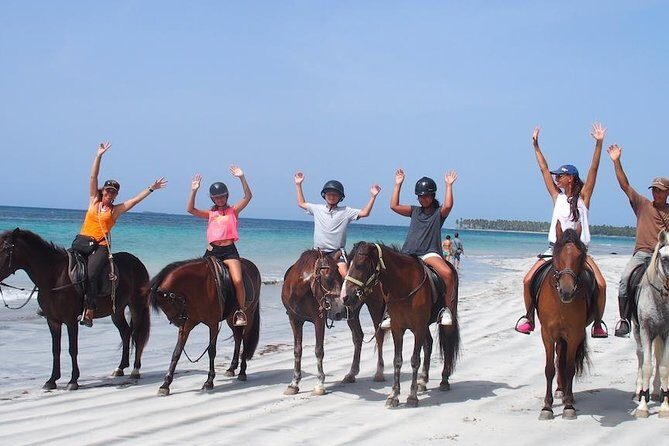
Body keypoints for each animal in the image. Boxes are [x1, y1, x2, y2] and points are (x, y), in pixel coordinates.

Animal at [0, 228, 151, 390]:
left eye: (4, 249)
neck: (55, 277)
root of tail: (137, 262)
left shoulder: (71, 320)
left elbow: (73, 349)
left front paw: (73, 381)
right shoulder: (53, 321)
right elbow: (56, 350)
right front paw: (52, 380)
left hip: (137, 306)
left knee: (137, 335)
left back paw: (135, 370)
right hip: (116, 311)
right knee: (125, 332)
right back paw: (120, 368)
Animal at [149, 257, 261, 396]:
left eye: (170, 304)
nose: (178, 323)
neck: (198, 287)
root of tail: (253, 266)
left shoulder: (213, 323)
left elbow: (211, 351)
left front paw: (209, 381)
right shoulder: (188, 324)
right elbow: (177, 352)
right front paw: (165, 384)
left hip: (248, 315)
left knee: (245, 340)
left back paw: (242, 372)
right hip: (231, 318)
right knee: (237, 338)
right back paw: (231, 368)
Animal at [281, 249, 350, 396]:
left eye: (341, 278)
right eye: (328, 278)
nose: (340, 311)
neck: (300, 293)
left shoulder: (319, 320)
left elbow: (319, 350)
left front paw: (320, 384)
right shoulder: (294, 320)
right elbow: (297, 350)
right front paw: (294, 383)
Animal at [344, 242, 460, 407]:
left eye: (360, 266)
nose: (345, 297)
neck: (404, 288)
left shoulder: (418, 328)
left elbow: (414, 360)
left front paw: (412, 397)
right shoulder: (397, 328)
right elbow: (397, 360)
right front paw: (394, 395)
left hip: (443, 324)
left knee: (447, 346)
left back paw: (444, 381)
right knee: (429, 345)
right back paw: (422, 381)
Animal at [534, 225, 594, 420]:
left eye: (580, 255)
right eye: (557, 253)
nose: (567, 291)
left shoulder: (574, 334)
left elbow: (569, 368)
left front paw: (568, 406)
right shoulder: (547, 334)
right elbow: (549, 369)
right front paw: (547, 407)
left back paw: (568, 394)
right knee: (559, 358)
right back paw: (560, 390)